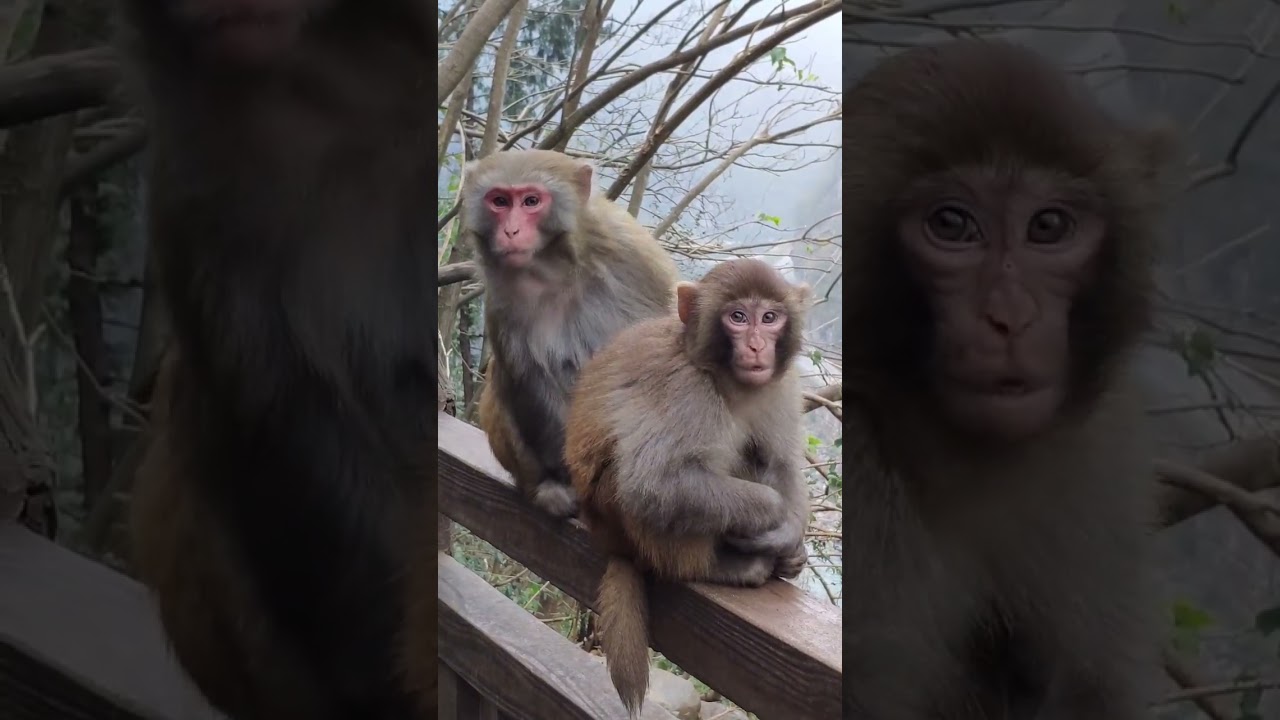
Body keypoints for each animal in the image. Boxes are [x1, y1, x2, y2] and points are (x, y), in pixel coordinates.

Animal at [464, 149, 678, 520]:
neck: (554, 264)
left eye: (531, 201)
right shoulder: (504, 291)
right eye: (500, 201)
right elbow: (530, 377)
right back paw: (548, 489)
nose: (511, 231)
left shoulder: (635, 255)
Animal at [564, 258, 813, 718]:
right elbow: (654, 484)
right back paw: (721, 567)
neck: (728, 381)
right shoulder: (684, 389)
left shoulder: (782, 384)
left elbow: (781, 461)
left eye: (770, 317)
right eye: (738, 317)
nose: (756, 346)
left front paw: (790, 541)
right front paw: (775, 523)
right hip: (614, 515)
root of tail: (609, 541)